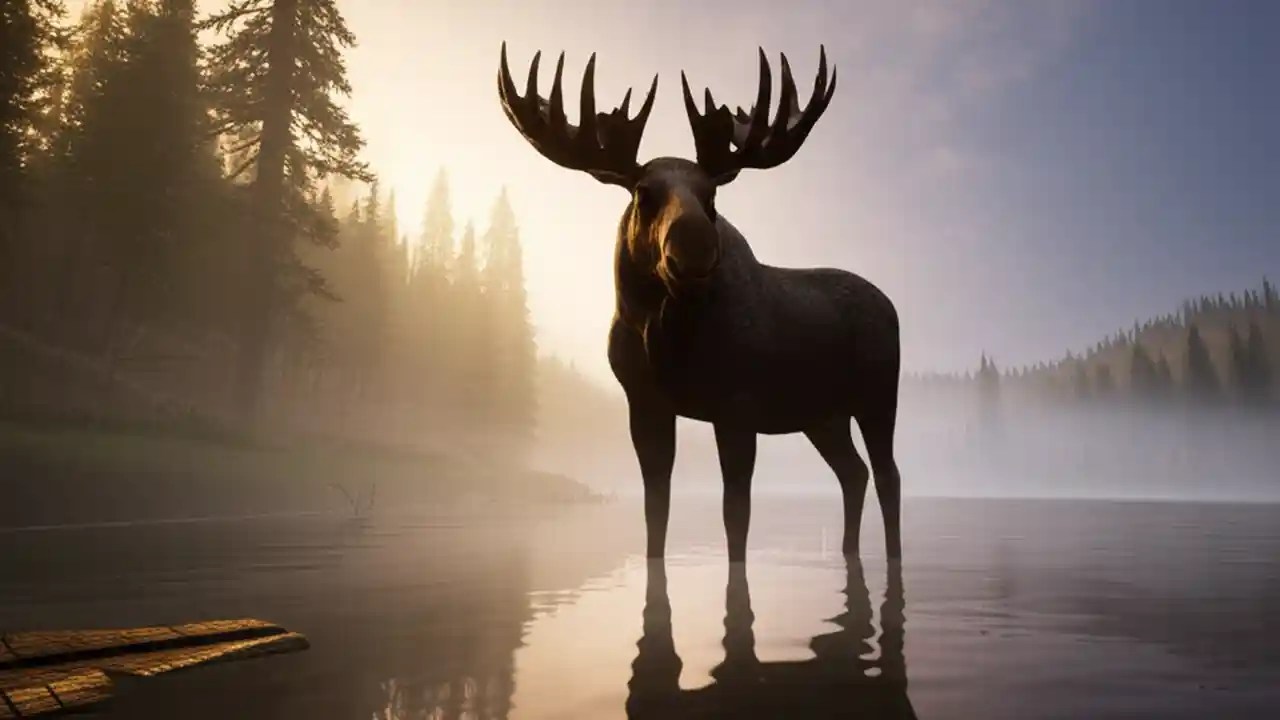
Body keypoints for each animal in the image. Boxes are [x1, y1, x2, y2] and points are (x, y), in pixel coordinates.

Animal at [496, 44, 902, 562]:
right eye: (643, 192)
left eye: (712, 194)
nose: (694, 248)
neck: (663, 335)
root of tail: (890, 306)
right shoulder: (644, 402)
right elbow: (656, 507)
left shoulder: (738, 406)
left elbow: (735, 513)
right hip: (822, 416)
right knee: (853, 472)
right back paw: (850, 551)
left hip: (877, 396)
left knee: (888, 474)